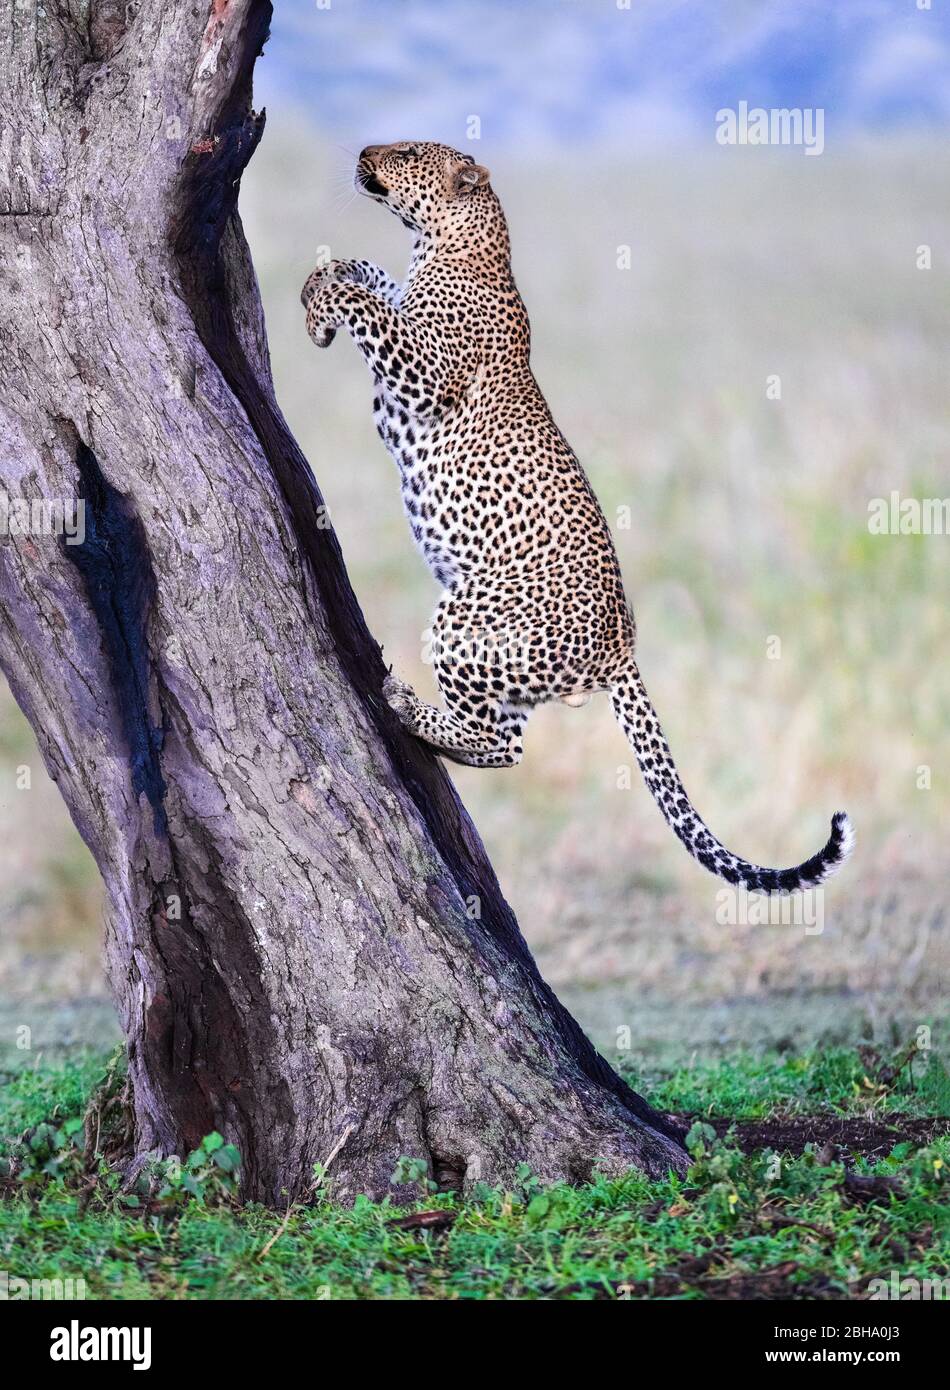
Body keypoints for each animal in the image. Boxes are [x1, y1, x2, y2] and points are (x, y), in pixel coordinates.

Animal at [300, 141, 854, 894]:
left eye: (409, 152)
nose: (363, 150)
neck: (446, 242)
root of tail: (624, 648)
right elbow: (374, 281)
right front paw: (325, 279)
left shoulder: (427, 370)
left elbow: (372, 307)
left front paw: (325, 299)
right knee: (510, 740)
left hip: (468, 620)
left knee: (499, 743)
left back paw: (410, 708)